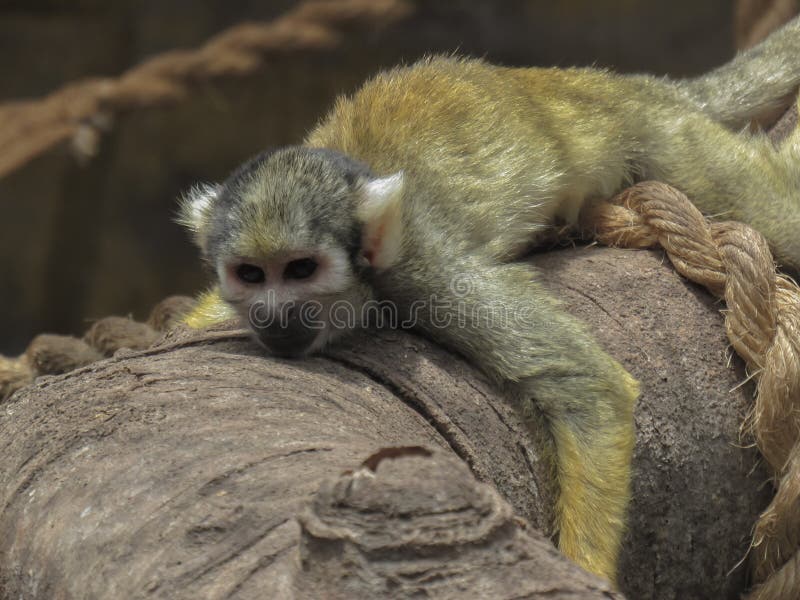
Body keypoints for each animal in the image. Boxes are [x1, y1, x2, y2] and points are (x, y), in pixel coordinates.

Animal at [177, 17, 800, 584]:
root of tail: (609, 84)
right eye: (251, 274)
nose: (272, 314)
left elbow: (587, 384)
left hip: (661, 132)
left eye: (301, 270)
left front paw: (586, 572)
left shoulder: (426, 269)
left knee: (773, 217)